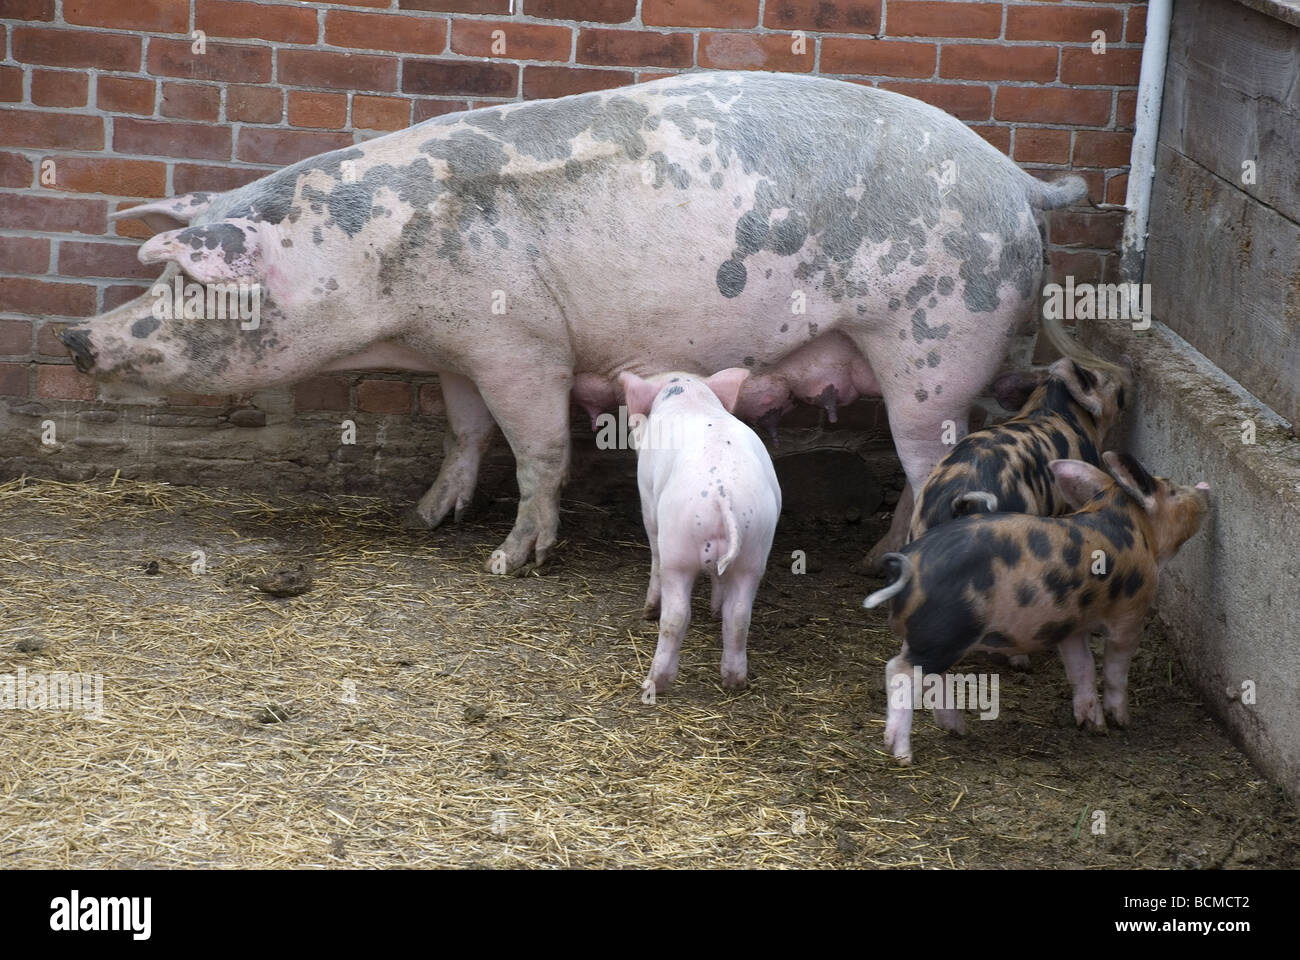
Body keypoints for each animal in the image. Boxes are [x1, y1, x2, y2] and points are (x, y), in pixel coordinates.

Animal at [56, 71, 1114, 575]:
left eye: (192, 285)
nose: (76, 337)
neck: (374, 276)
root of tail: (1019, 181)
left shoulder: (520, 343)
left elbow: (538, 449)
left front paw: (507, 560)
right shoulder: (458, 350)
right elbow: (465, 432)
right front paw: (428, 516)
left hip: (936, 346)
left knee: (932, 459)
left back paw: (885, 562)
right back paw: (867, 554)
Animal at [619, 369, 780, 694]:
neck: (690, 397)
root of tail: (721, 494)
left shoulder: (647, 496)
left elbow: (652, 548)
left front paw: (647, 612)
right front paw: (714, 610)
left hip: (678, 547)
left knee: (676, 614)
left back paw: (654, 681)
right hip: (755, 545)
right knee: (739, 614)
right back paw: (734, 681)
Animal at [864, 451, 1210, 764]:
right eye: (1173, 490)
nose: (1206, 487)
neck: (1135, 531)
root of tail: (909, 568)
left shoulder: (1070, 625)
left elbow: (1082, 669)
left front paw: (1092, 725)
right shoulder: (1130, 615)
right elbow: (1115, 671)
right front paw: (1122, 721)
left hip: (933, 637)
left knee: (930, 676)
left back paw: (957, 729)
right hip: (946, 631)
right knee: (899, 670)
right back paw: (902, 754)